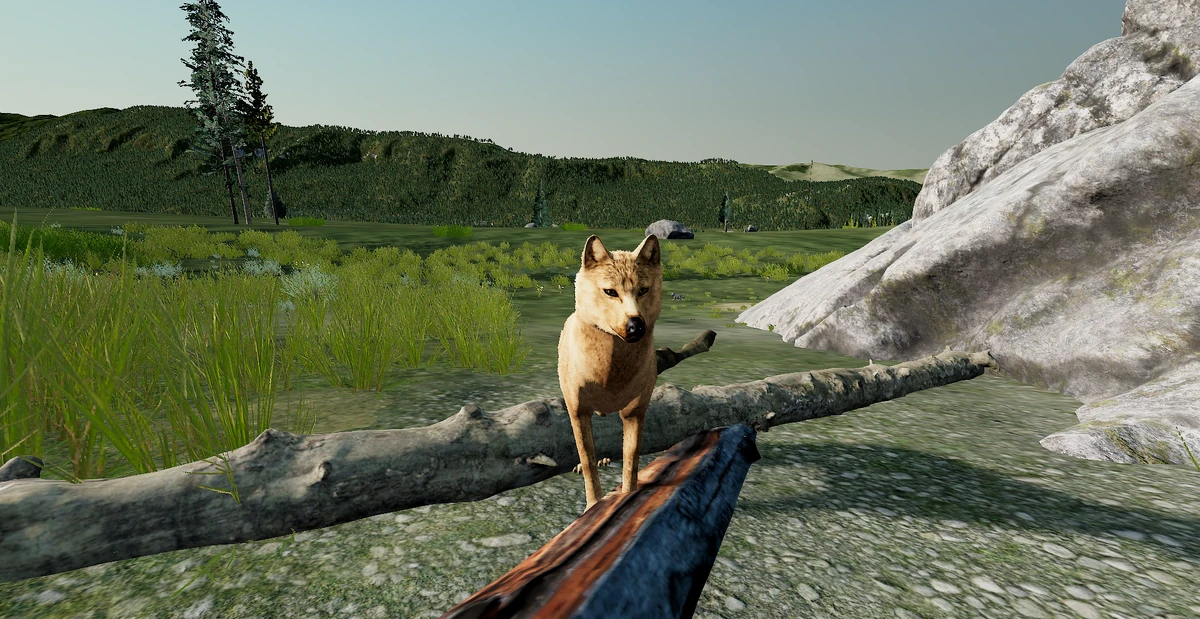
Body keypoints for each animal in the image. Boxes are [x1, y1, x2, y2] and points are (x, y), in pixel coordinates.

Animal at [558, 234, 662, 510]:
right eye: (610, 292)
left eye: (643, 290)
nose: (636, 325)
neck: (609, 375)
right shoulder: (578, 411)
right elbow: (587, 459)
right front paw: (593, 505)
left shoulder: (635, 412)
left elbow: (631, 459)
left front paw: (627, 496)